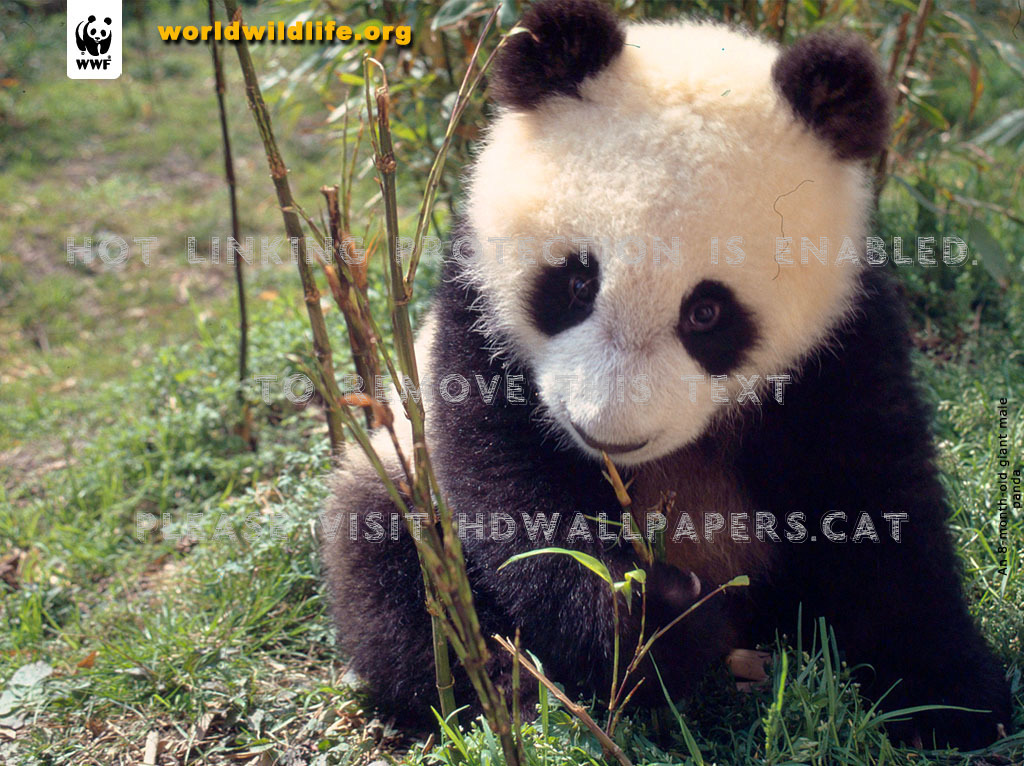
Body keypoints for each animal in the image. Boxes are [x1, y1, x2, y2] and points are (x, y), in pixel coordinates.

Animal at [322, 0, 1012, 749]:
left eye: (707, 313)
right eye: (577, 282)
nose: (609, 433)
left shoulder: (841, 337)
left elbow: (872, 502)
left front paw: (953, 701)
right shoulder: (476, 313)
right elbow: (511, 489)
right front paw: (654, 629)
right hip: (397, 472)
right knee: (395, 561)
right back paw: (503, 692)